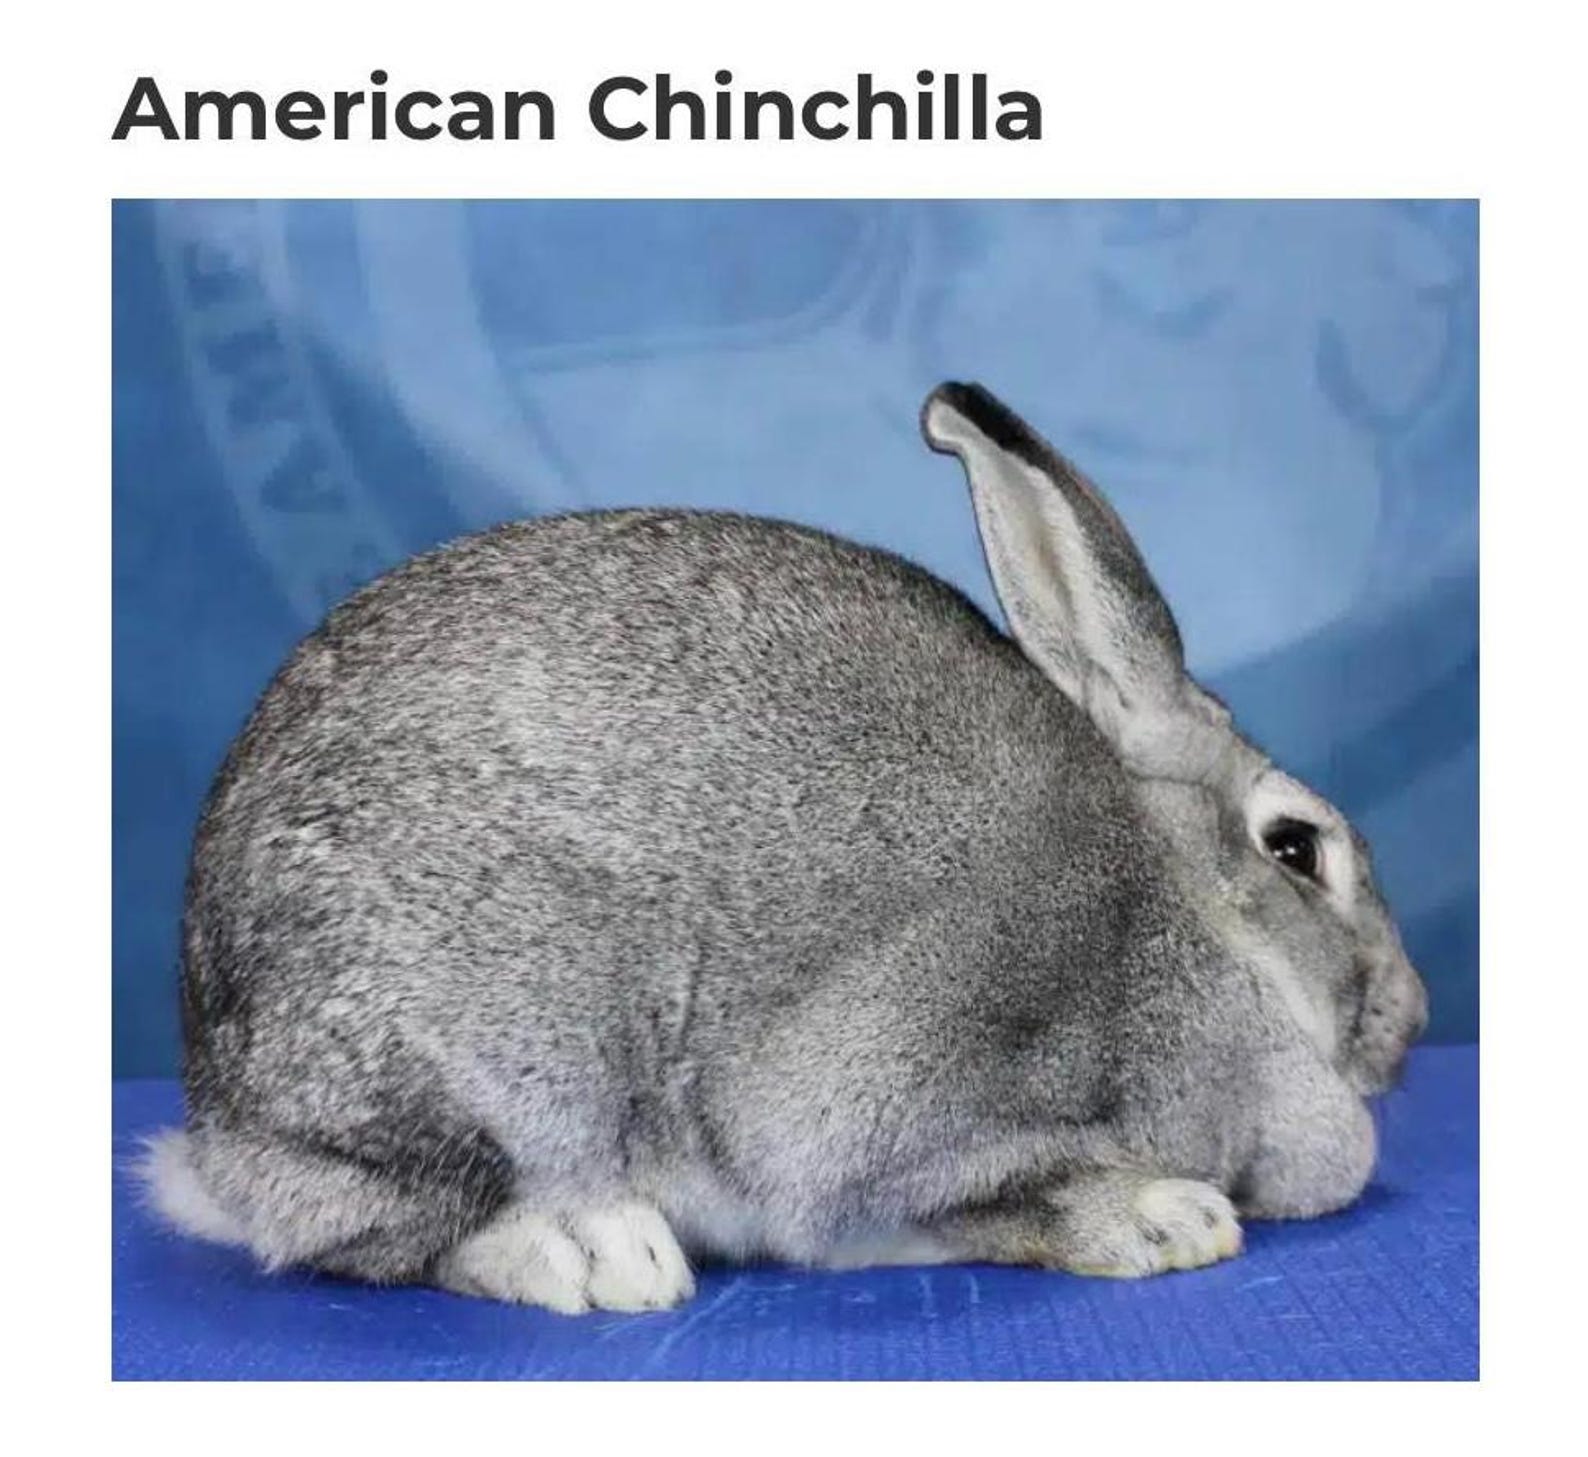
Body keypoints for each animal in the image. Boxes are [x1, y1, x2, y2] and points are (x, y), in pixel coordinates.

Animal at [137, 382, 1429, 1313]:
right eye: (1296, 848)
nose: (1412, 1016)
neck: (1187, 908)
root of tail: (217, 1125)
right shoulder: (884, 1109)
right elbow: (1001, 1190)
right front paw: (1168, 1219)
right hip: (494, 1061)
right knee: (377, 1229)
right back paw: (593, 1249)